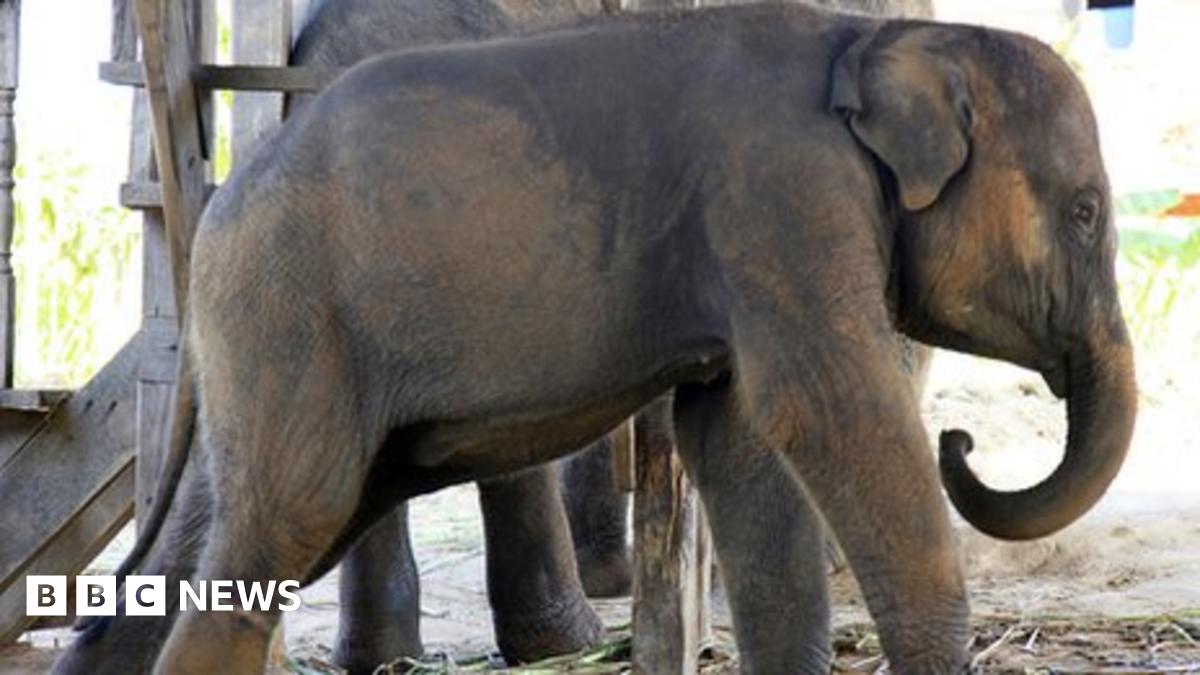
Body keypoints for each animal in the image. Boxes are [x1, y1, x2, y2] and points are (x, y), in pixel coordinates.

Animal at [58, 2, 1138, 674]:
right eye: (1085, 212)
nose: (965, 440)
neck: (882, 38)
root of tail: (211, 213)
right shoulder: (781, 198)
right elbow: (829, 415)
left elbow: (741, 444)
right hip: (289, 317)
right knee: (284, 522)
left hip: (274, 349)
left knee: (230, 530)